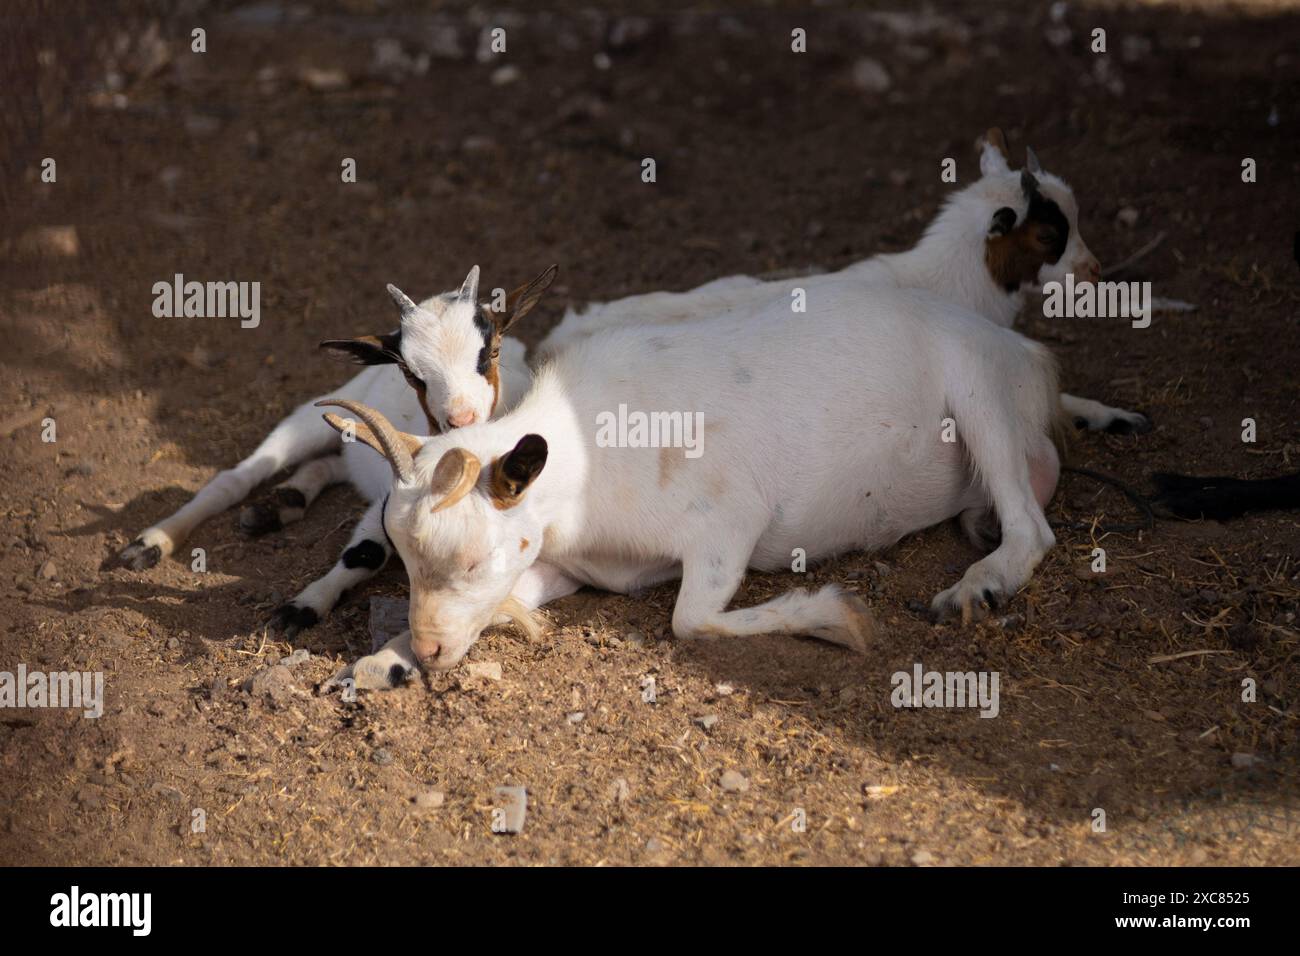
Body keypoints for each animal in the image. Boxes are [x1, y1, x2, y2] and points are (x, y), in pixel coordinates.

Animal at [112, 265, 557, 637]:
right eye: (410, 372)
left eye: (491, 352)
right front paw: (302, 606)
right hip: (317, 416)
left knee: (328, 465)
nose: (460, 419)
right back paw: (151, 543)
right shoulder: (393, 496)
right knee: (238, 477)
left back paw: (282, 503)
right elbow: (366, 551)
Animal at [319, 280, 1061, 690]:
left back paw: (977, 586)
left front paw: (837, 616)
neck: (585, 454)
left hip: (978, 389)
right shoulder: (563, 564)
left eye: (472, 560)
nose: (430, 649)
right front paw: (381, 661)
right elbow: (512, 601)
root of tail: (1025, 352)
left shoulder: (728, 525)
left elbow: (690, 620)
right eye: (406, 562)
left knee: (1032, 526)